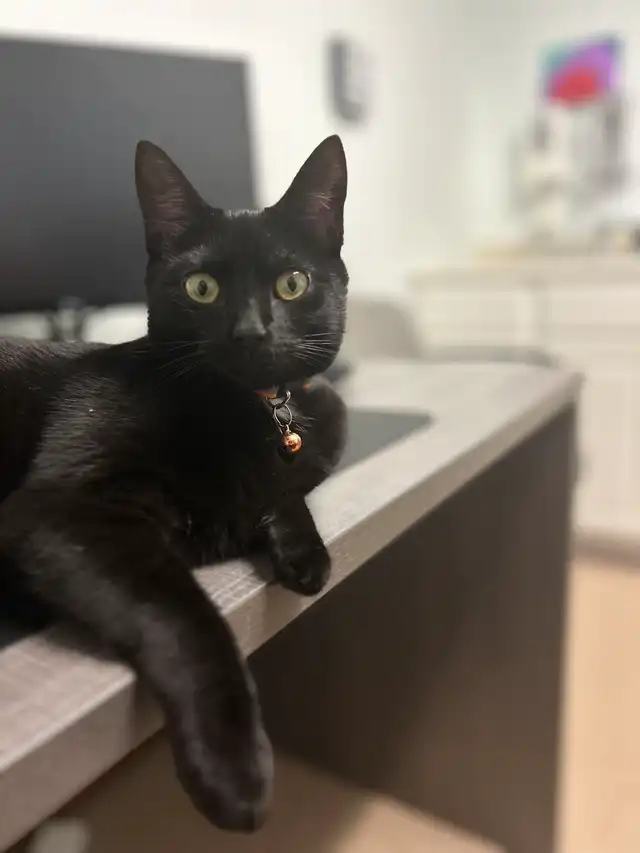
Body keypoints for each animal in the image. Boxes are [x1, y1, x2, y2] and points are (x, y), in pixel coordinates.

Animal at [0, 135, 348, 832]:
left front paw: (301, 549)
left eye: (292, 283)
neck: (246, 412)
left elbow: (290, 480)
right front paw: (232, 768)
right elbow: (182, 617)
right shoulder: (63, 508)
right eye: (202, 287)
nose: (251, 332)